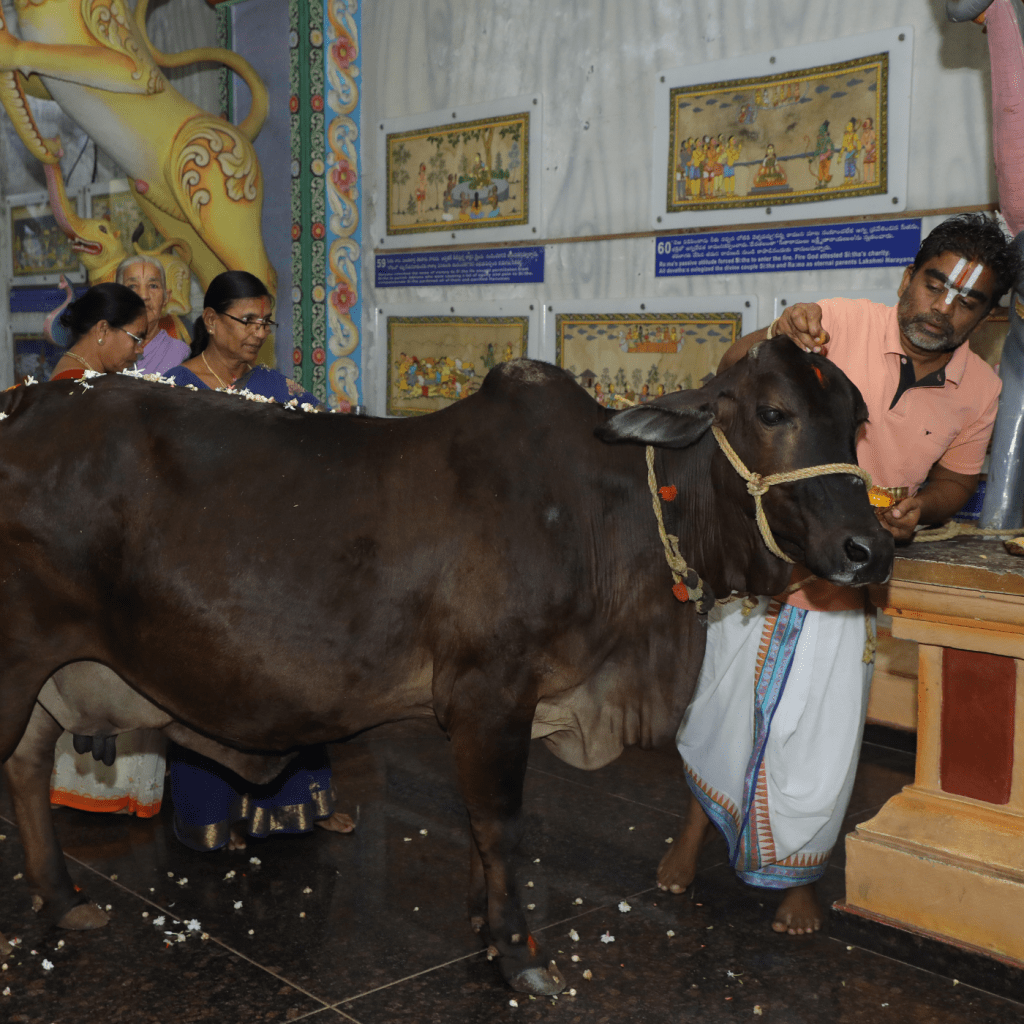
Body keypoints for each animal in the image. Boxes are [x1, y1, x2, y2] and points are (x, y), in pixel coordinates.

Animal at [0, 340, 893, 994]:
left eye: (857, 420)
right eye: (773, 411)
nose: (870, 549)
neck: (609, 511)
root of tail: (28, 399)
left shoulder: (502, 708)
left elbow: (476, 825)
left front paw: (481, 928)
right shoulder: (489, 693)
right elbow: (500, 823)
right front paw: (518, 951)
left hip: (41, 679)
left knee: (28, 769)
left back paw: (64, 901)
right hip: (17, 664)